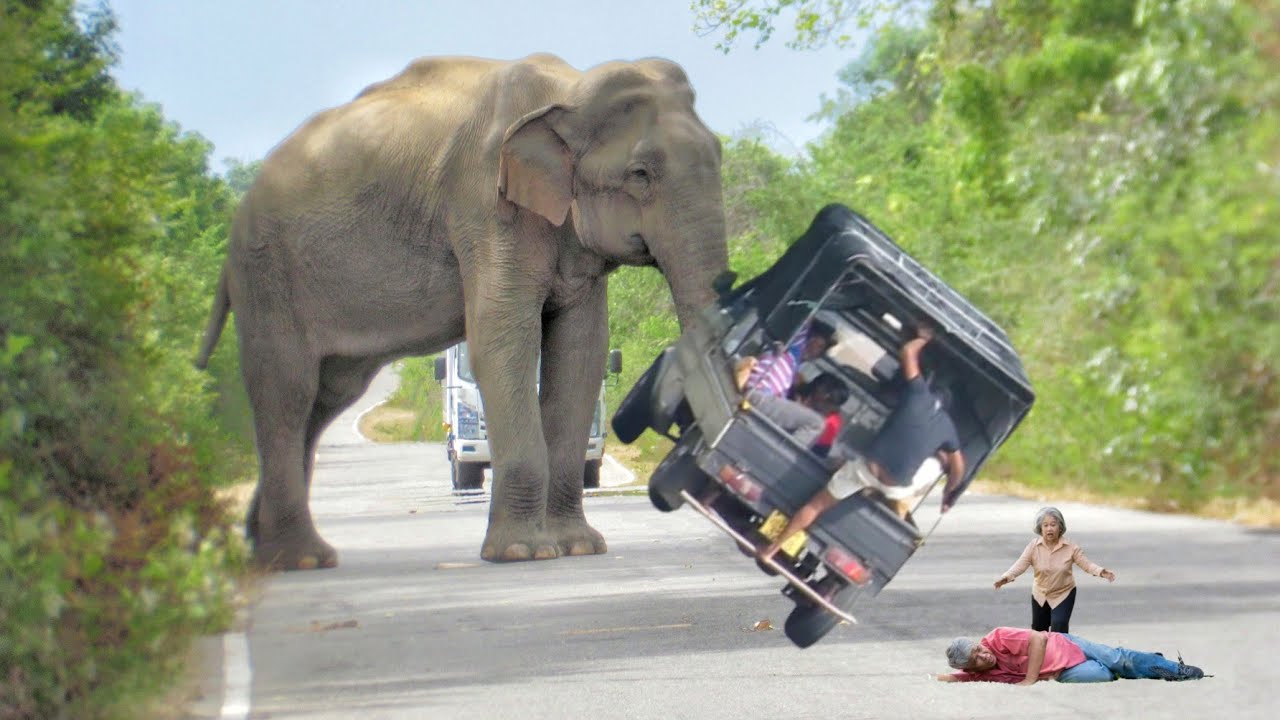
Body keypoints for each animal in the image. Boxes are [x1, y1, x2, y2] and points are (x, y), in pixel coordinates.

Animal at [195, 53, 729, 570]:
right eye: (640, 174)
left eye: (720, 156)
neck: (569, 90)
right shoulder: (486, 206)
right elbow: (502, 340)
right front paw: (524, 553)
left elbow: (583, 351)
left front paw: (578, 547)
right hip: (268, 273)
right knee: (288, 389)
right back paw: (300, 559)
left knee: (326, 396)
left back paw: (264, 550)